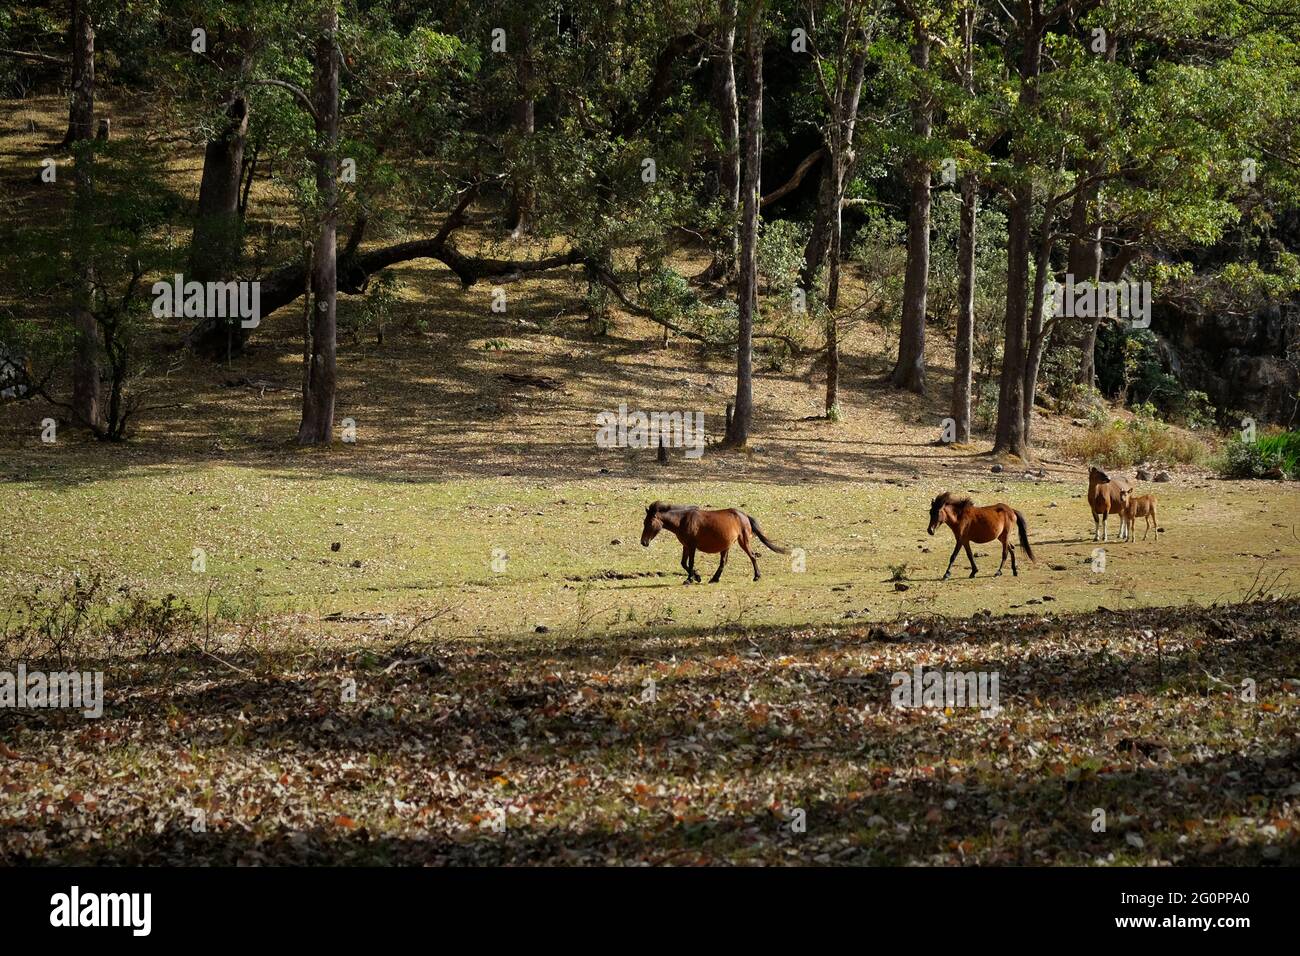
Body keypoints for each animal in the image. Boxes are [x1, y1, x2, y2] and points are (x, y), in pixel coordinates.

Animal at [641, 501, 789, 583]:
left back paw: (756, 577)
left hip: (743, 541)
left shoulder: (692, 546)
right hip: (726, 546)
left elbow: (690, 562)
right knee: (723, 562)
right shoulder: (686, 546)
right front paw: (697, 577)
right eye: (644, 522)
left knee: (752, 556)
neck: (683, 520)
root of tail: (744, 515)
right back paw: (714, 579)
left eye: (650, 522)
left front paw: (690, 579)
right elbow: (684, 563)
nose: (643, 542)